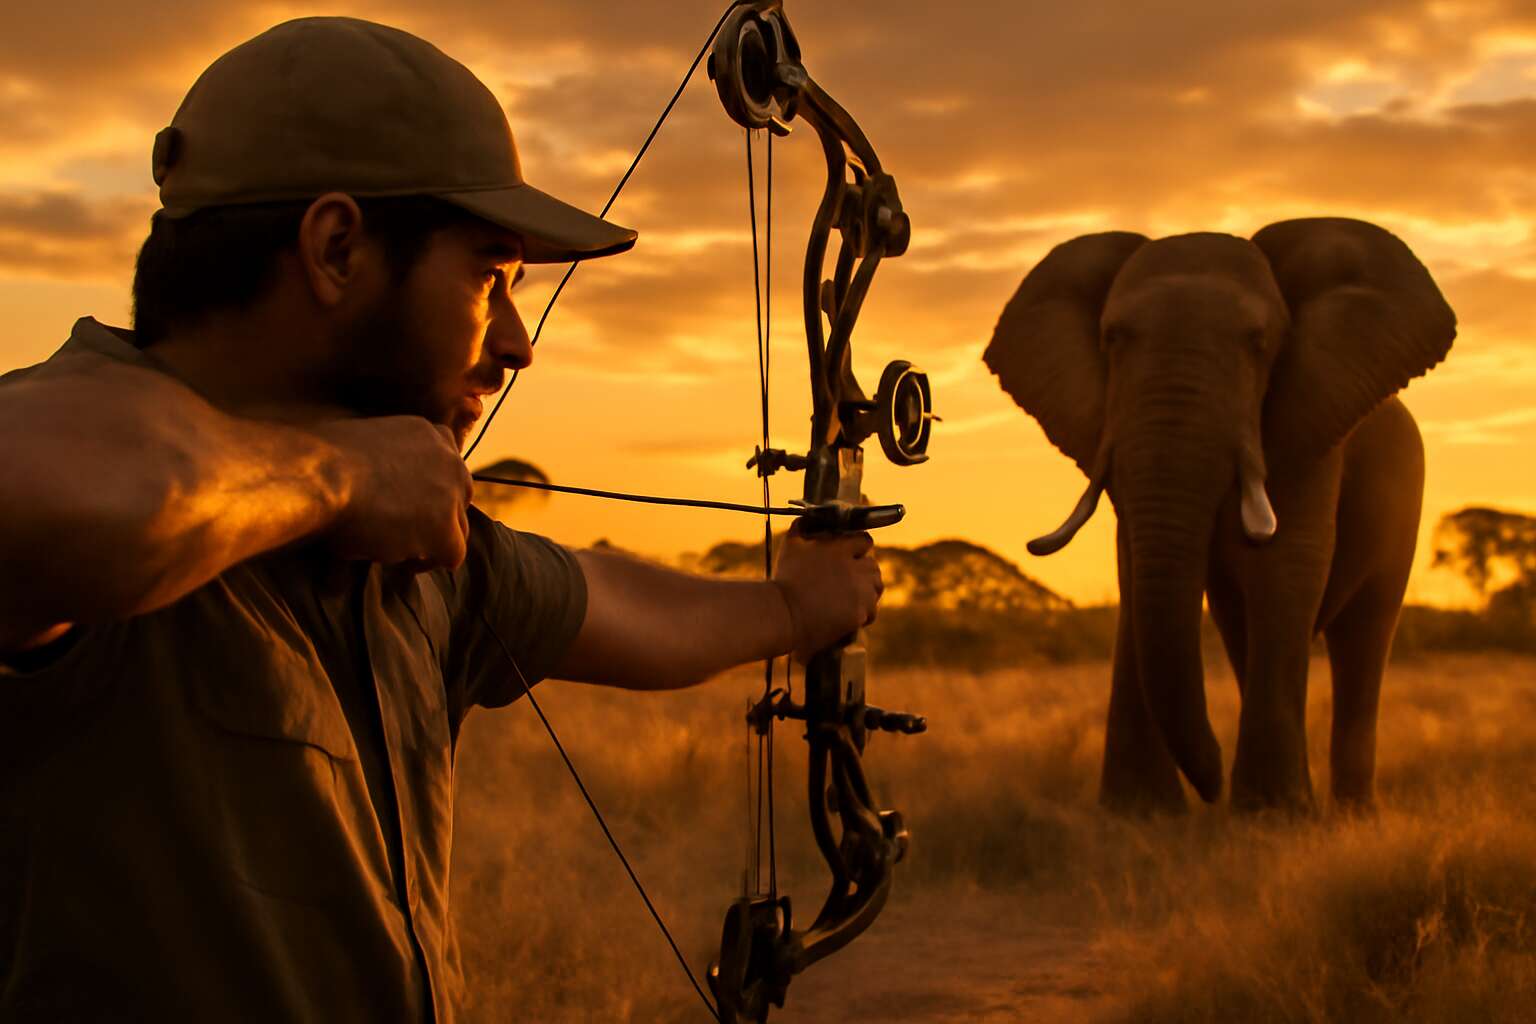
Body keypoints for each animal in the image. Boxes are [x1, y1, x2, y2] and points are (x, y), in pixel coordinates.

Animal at [983, 218, 1456, 813]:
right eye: (1112, 339)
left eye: (1259, 343)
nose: (1210, 786)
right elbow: (1136, 561)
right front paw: (1141, 816)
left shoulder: (1308, 421)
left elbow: (1282, 560)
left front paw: (1274, 817)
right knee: (1239, 625)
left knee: (1364, 634)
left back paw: (1351, 815)